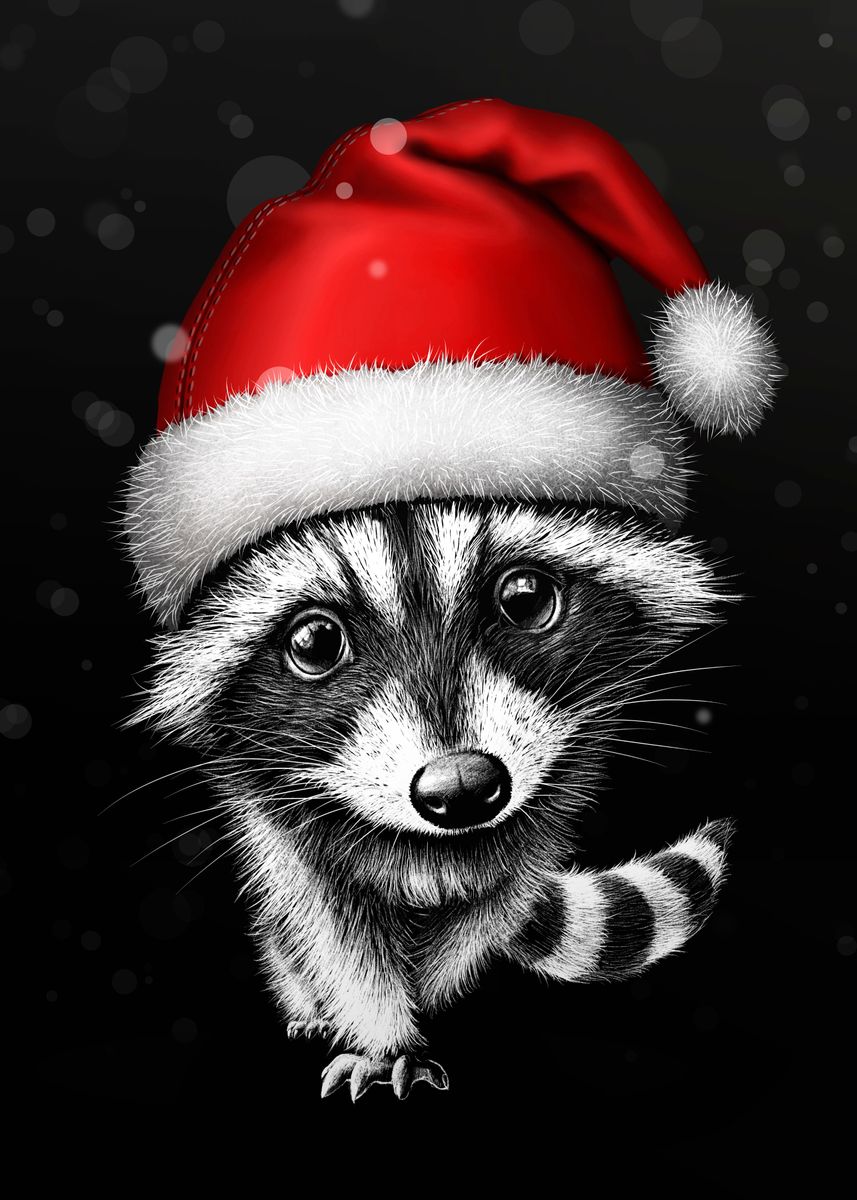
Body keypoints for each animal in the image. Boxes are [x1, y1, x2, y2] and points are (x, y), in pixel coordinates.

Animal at [127, 496, 733, 1100]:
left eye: (526, 598)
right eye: (315, 642)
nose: (463, 785)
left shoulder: (537, 826)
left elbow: (479, 919)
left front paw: (419, 1013)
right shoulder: (288, 833)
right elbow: (338, 936)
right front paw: (383, 1036)